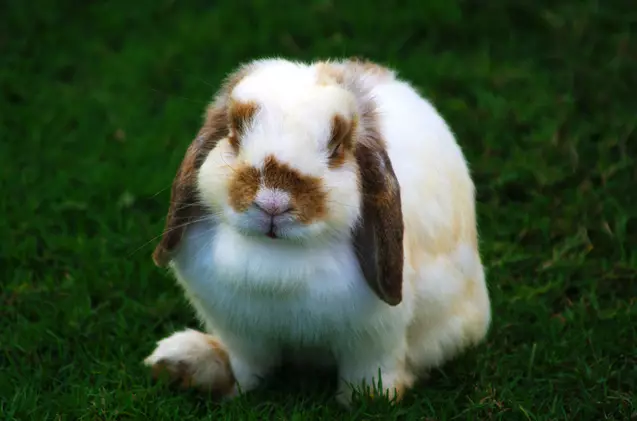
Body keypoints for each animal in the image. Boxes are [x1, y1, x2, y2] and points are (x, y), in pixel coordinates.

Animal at [143, 55, 492, 404]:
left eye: (336, 147)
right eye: (234, 133)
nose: (273, 202)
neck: (275, 262)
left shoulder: (373, 340)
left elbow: (372, 374)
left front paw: (368, 399)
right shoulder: (242, 336)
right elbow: (245, 372)